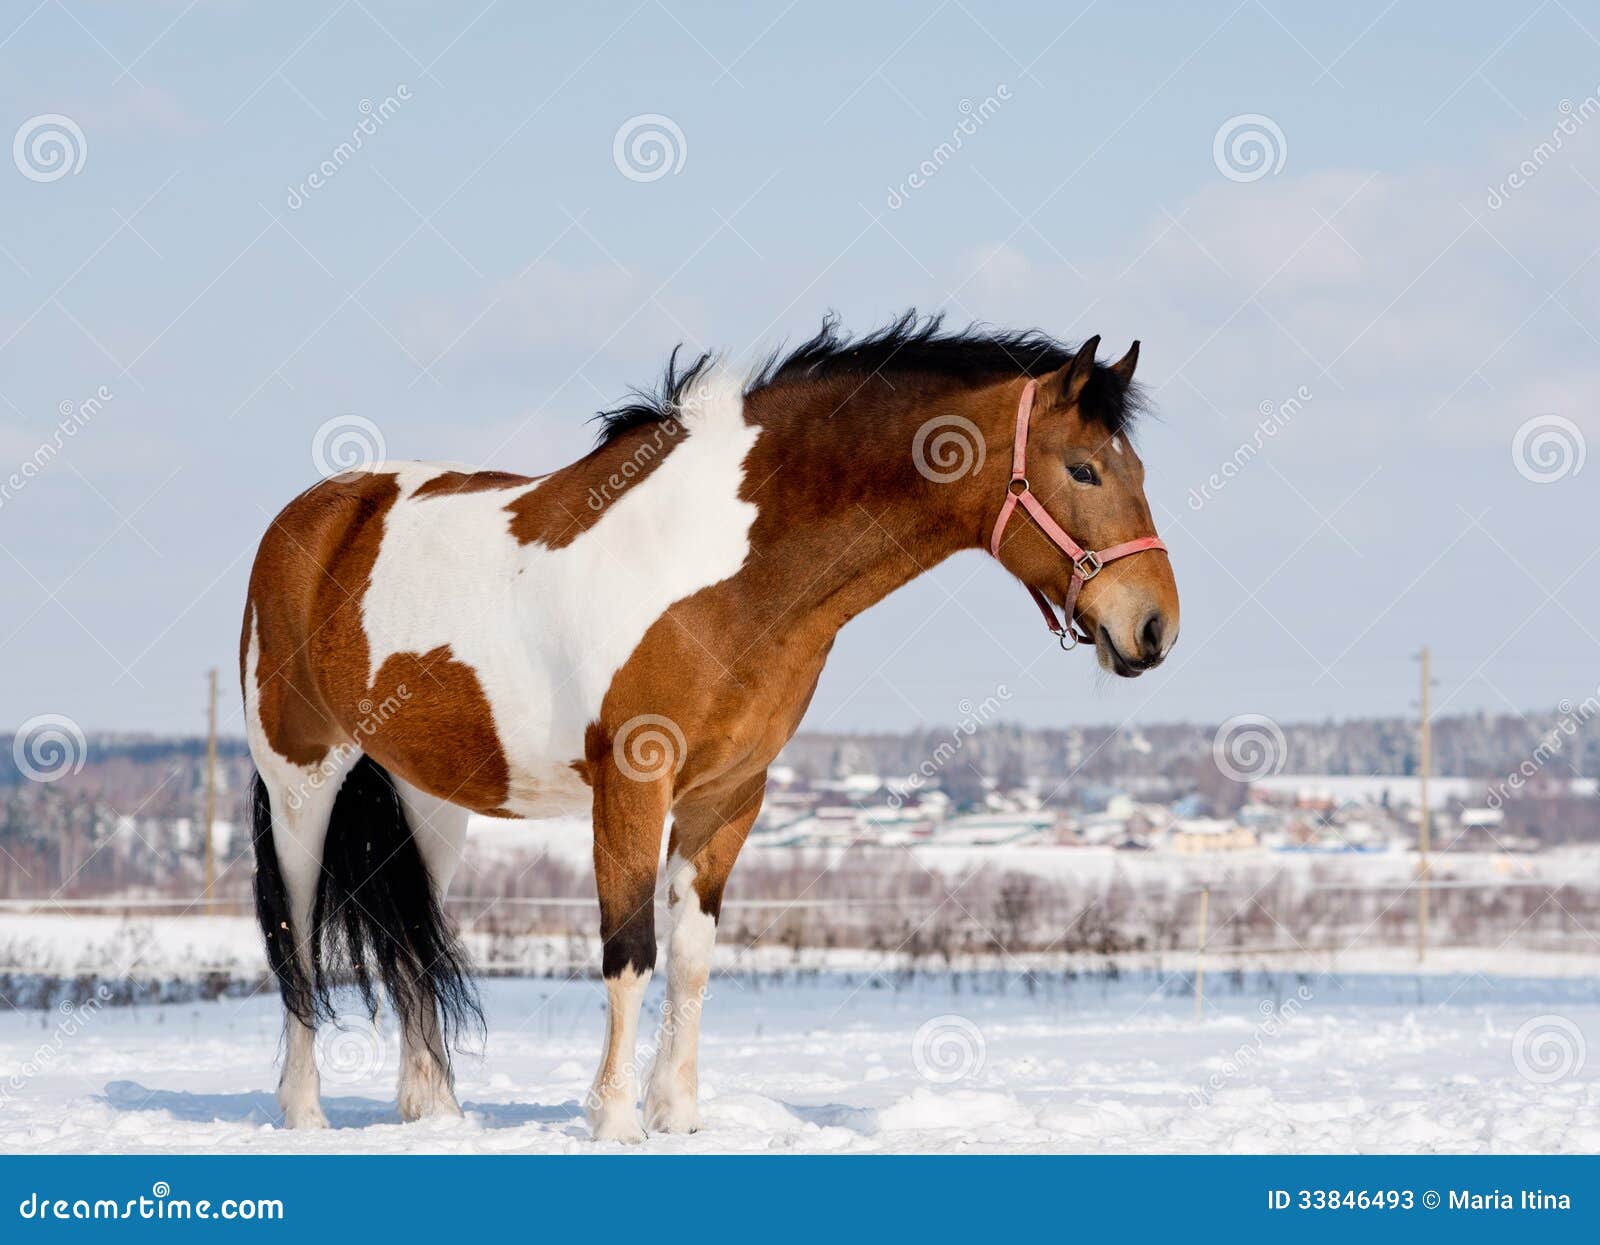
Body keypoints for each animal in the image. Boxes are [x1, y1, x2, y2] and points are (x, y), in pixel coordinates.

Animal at [240, 311, 1179, 1140]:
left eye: (1135, 467)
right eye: (1084, 470)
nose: (1154, 627)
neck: (721, 567)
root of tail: (308, 518)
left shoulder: (729, 795)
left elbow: (692, 955)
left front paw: (678, 1116)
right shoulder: (631, 783)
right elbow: (630, 951)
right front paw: (615, 1120)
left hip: (431, 803)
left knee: (413, 947)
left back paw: (433, 1111)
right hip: (302, 783)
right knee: (294, 935)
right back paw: (305, 1112)